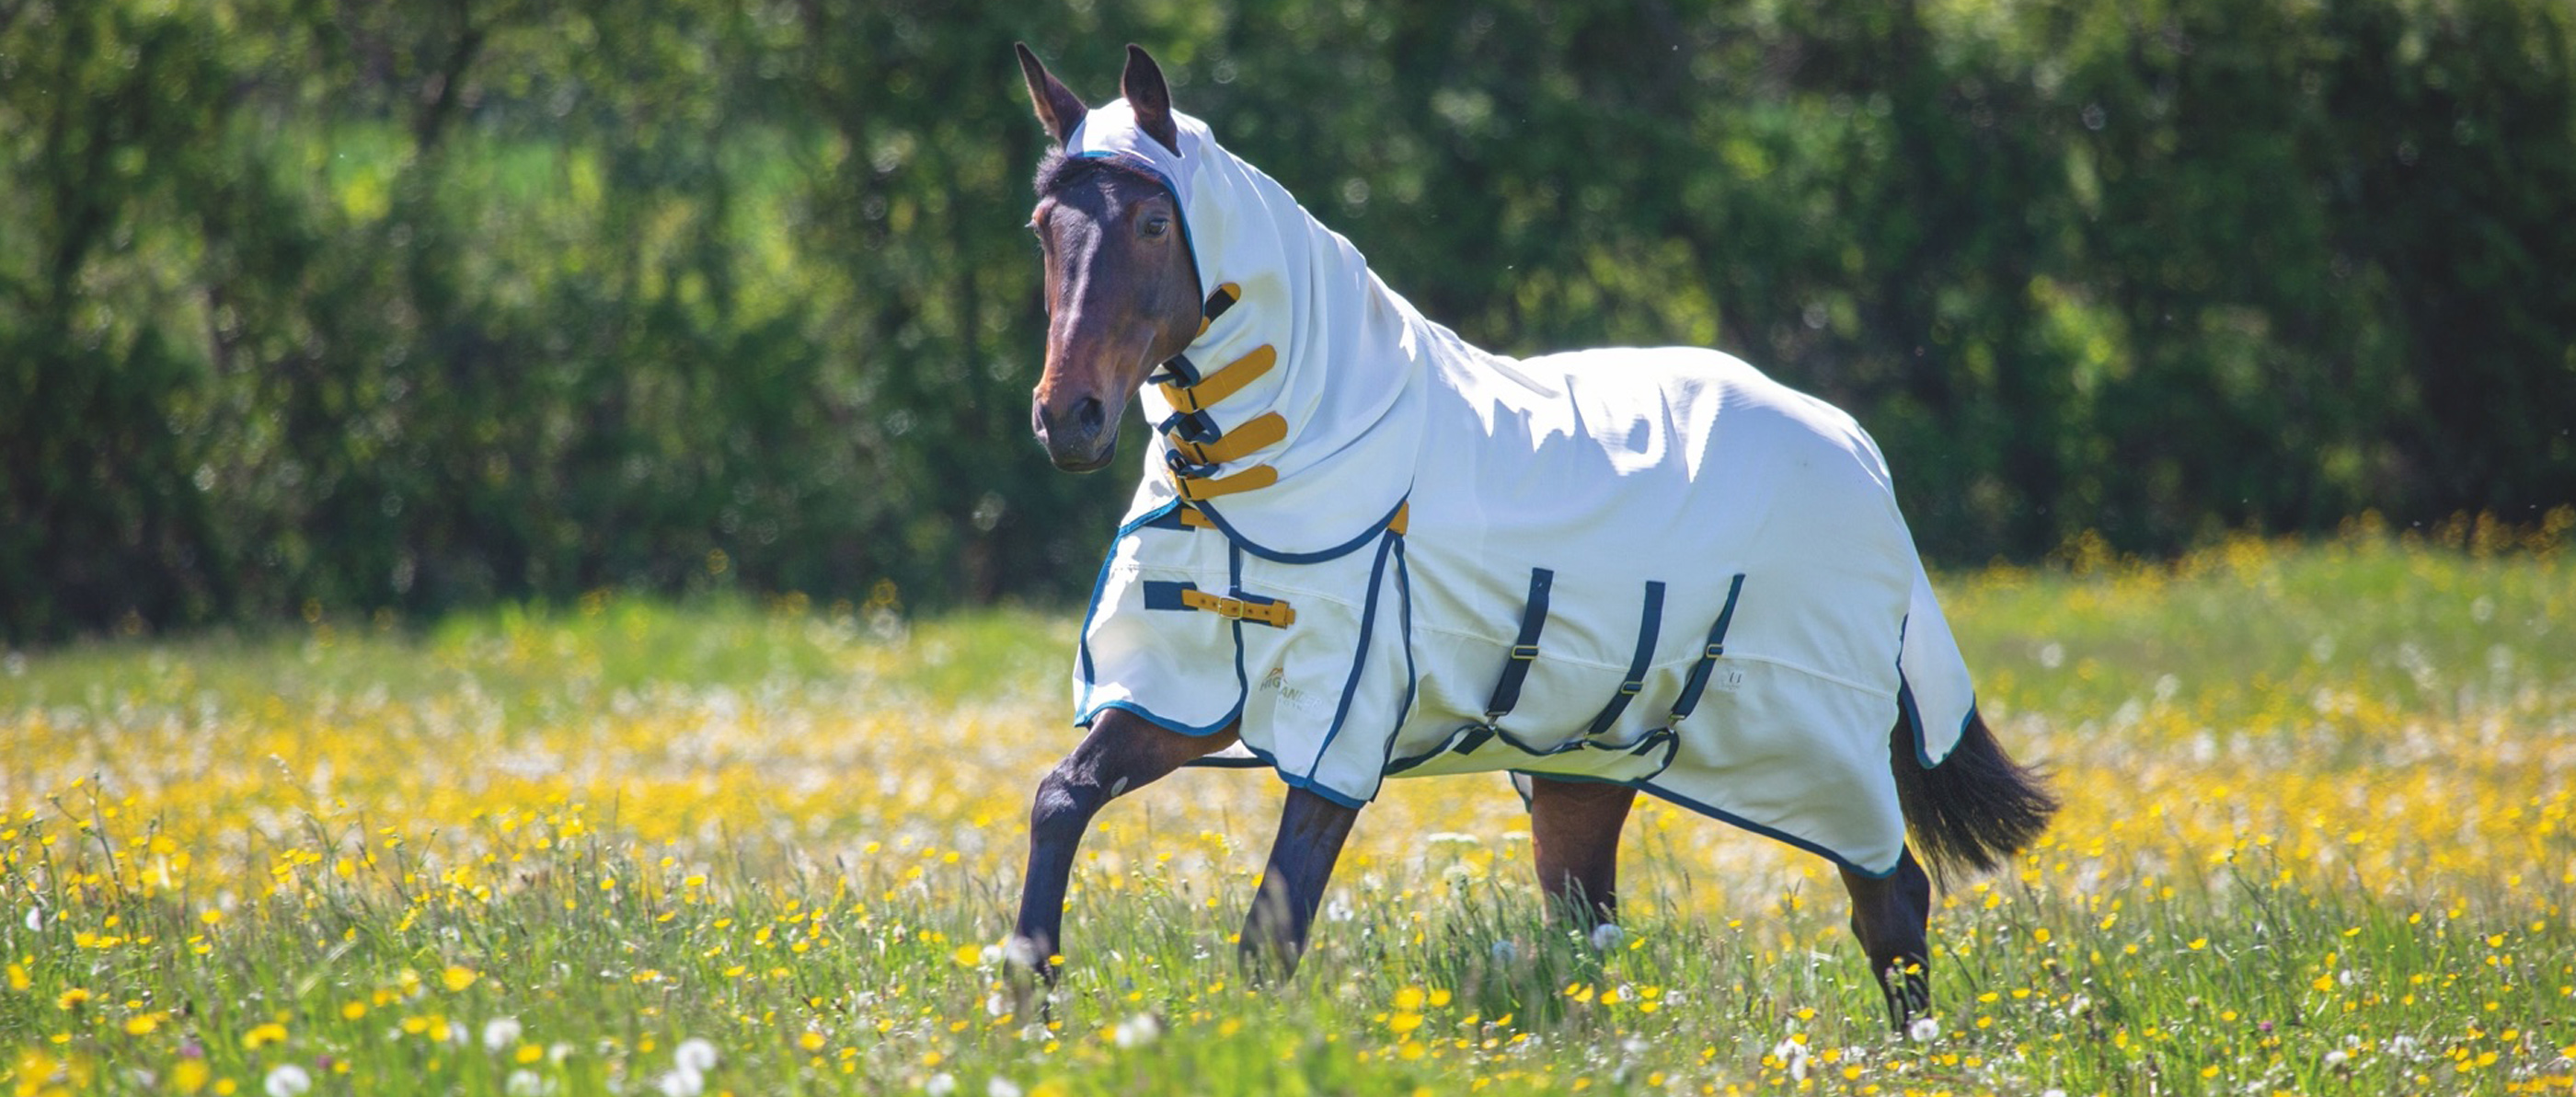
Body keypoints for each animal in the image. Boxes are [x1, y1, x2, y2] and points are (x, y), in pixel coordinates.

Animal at [1005, 43, 2057, 1030]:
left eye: (1153, 225)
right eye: (1043, 229)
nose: (1067, 420)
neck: (1288, 450)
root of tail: (1854, 445)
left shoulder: (1338, 716)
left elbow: (1274, 927)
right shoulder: (1181, 694)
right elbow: (1061, 798)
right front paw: (1027, 1002)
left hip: (1818, 751)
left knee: (1891, 895)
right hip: (1588, 767)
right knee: (1590, 920)